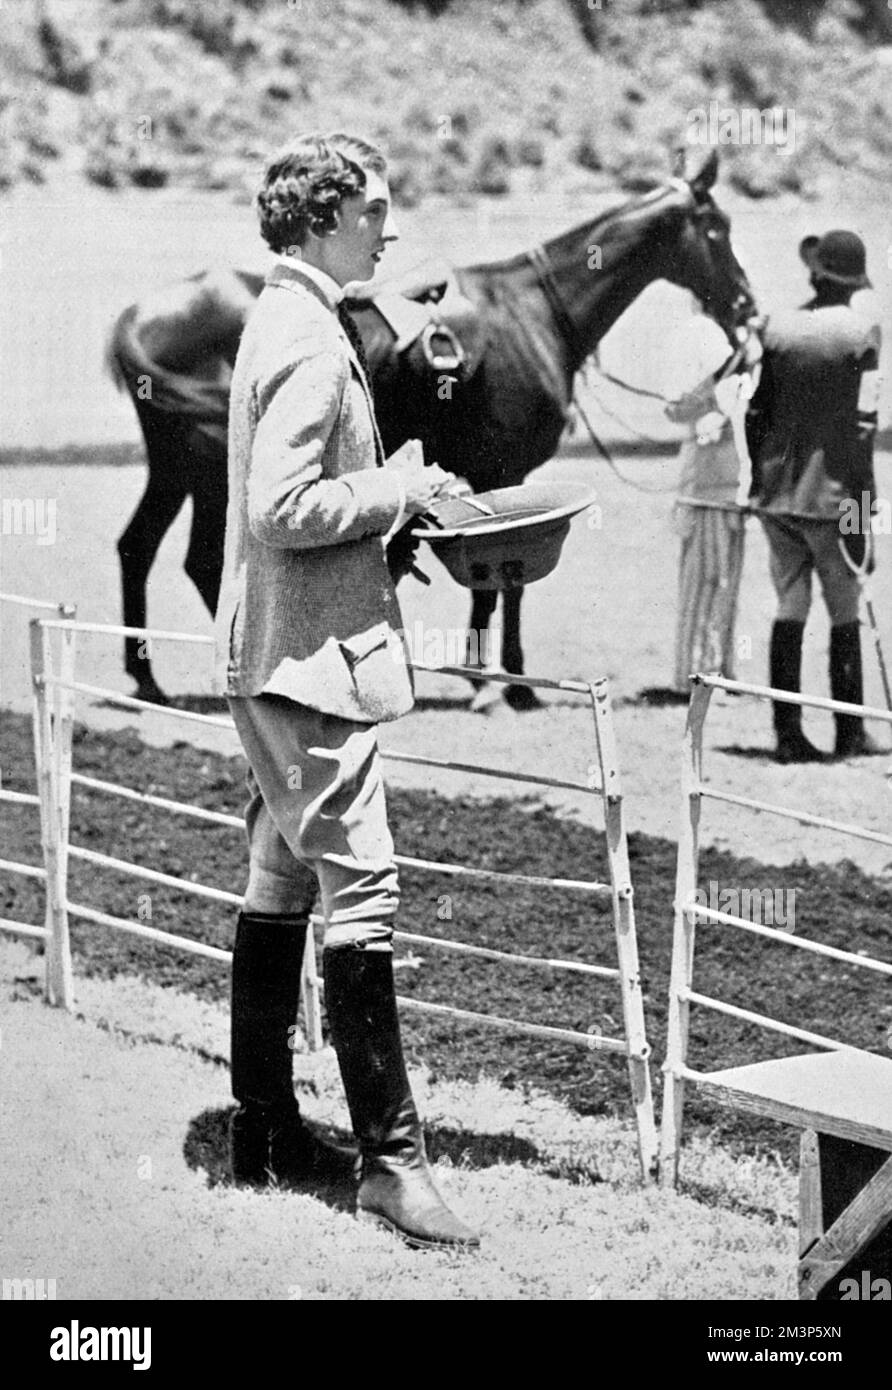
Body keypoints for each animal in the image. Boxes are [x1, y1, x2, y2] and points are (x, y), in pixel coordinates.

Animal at [108, 148, 754, 709]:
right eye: (715, 229)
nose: (747, 306)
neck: (535, 312)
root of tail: (139, 317)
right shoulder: (504, 471)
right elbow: (504, 586)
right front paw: (505, 685)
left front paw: (488, 679)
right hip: (207, 474)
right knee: (200, 561)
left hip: (174, 469)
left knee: (139, 546)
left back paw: (148, 679)